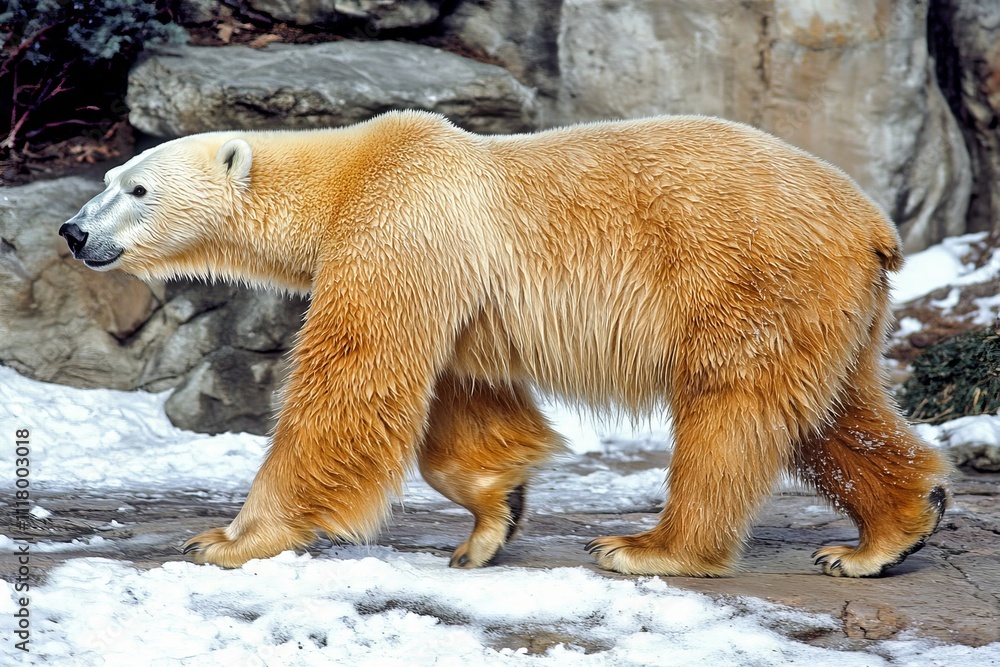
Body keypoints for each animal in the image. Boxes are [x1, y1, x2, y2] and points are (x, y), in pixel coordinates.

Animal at [59, 110, 951, 577]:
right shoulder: (455, 285)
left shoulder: (401, 222)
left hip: (750, 277)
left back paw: (647, 545)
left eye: (135, 188)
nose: (71, 231)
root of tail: (872, 225)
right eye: (107, 181)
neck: (346, 175)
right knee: (835, 411)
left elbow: (353, 380)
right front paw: (493, 517)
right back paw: (886, 533)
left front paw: (228, 537)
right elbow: (462, 397)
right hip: (830, 302)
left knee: (731, 413)